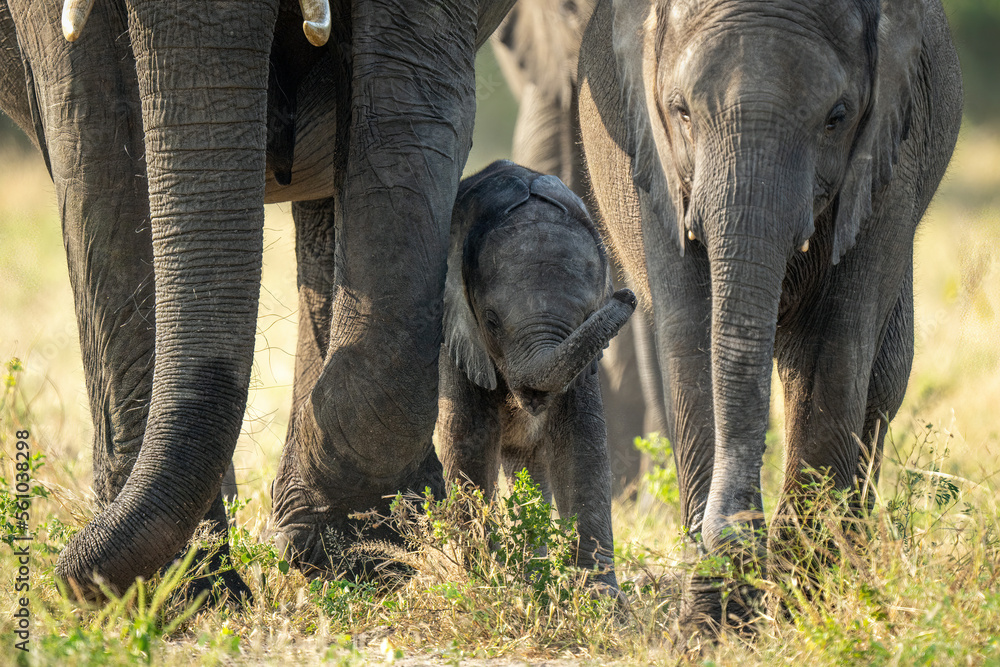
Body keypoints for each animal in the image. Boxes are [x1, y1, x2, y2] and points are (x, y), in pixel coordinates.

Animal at [436, 160, 636, 589]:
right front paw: (483, 583)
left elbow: (581, 446)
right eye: (491, 321)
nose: (628, 295)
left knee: (528, 465)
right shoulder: (454, 334)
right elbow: (467, 443)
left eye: (587, 315)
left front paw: (600, 602)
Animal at [576, 0, 962, 628]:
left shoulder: (891, 158)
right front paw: (715, 621)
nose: (732, 538)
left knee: (882, 381)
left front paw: (803, 606)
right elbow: (695, 340)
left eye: (836, 118)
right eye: (681, 111)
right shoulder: (655, 168)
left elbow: (833, 348)